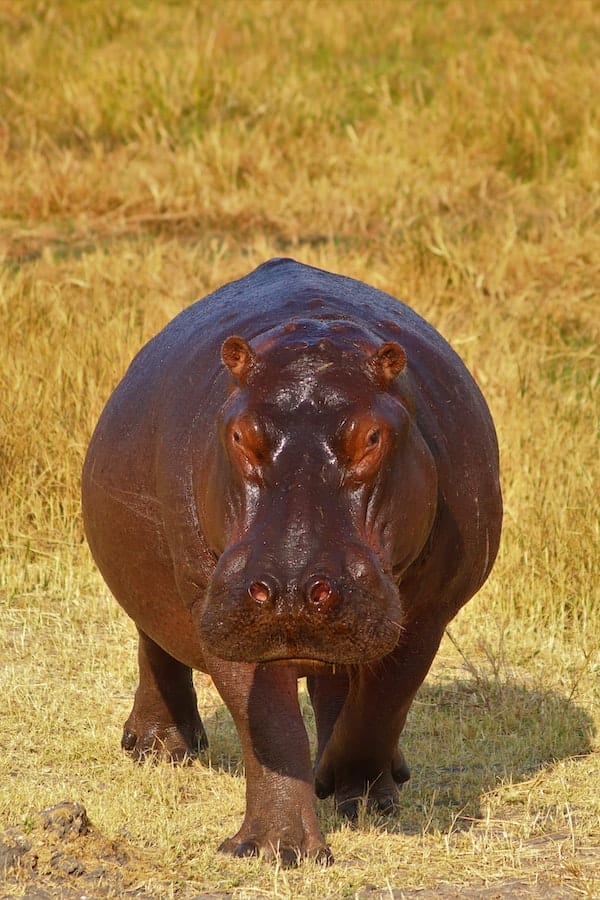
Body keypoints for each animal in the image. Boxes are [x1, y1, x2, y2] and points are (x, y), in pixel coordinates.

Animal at [82, 258, 502, 865]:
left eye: (372, 436)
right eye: (239, 433)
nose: (292, 587)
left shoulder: (428, 613)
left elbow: (382, 703)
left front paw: (359, 794)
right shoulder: (220, 599)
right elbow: (269, 725)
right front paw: (274, 850)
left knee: (343, 686)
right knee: (155, 639)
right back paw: (157, 749)